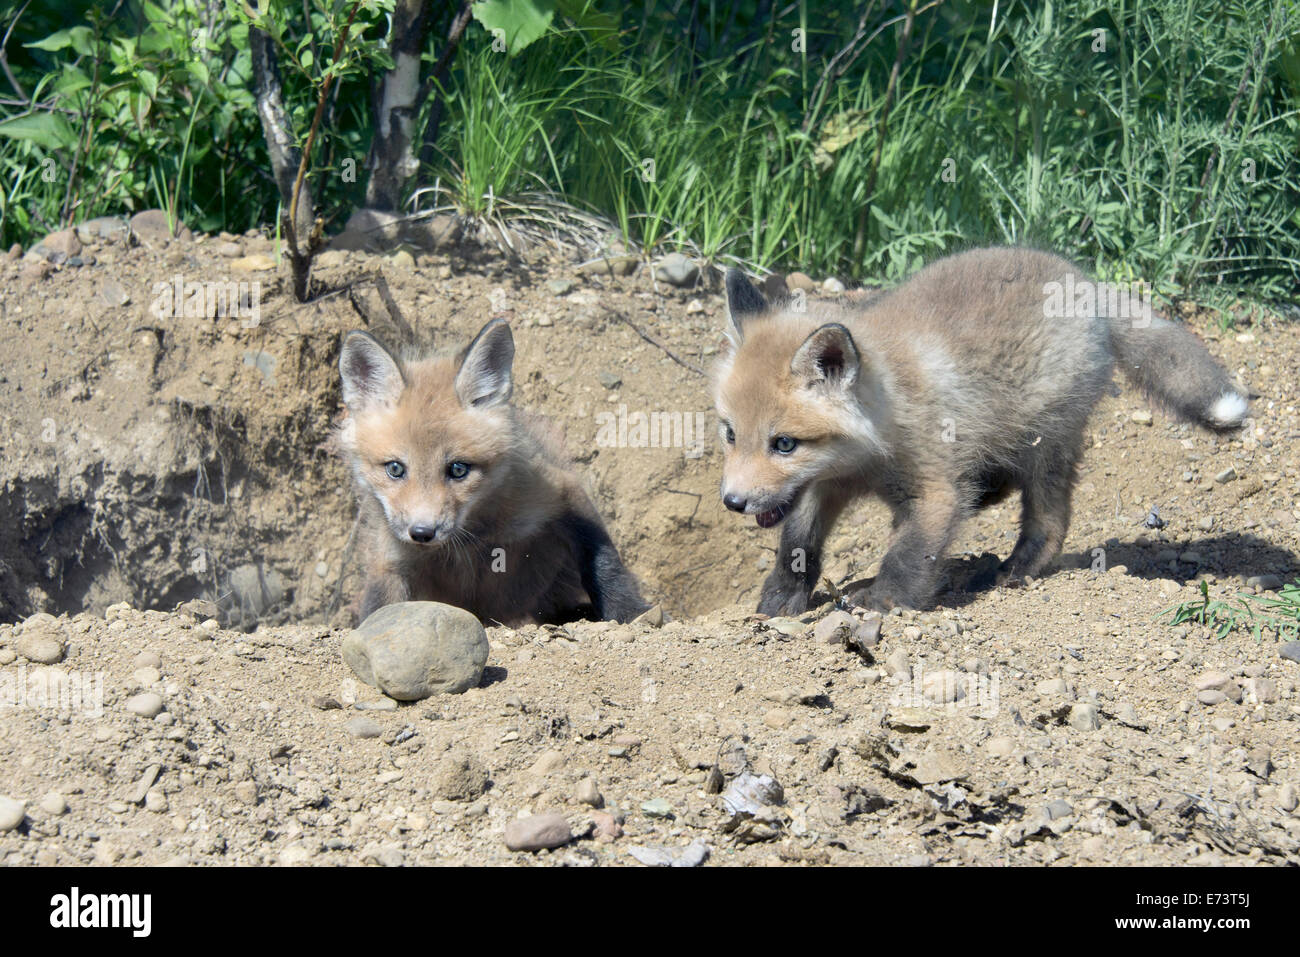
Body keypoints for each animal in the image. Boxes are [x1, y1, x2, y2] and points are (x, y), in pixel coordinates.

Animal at [336, 318, 649, 626]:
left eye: (458, 469)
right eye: (395, 468)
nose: (422, 532)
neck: (470, 538)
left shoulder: (559, 492)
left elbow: (603, 562)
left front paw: (631, 611)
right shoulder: (391, 556)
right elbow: (379, 606)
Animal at [714, 246, 1250, 616]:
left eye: (784, 444)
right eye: (730, 435)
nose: (732, 502)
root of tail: (1086, 282)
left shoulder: (935, 490)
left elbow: (909, 555)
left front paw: (882, 601)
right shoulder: (822, 484)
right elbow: (797, 542)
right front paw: (782, 596)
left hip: (1045, 442)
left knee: (1050, 522)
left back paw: (1015, 570)